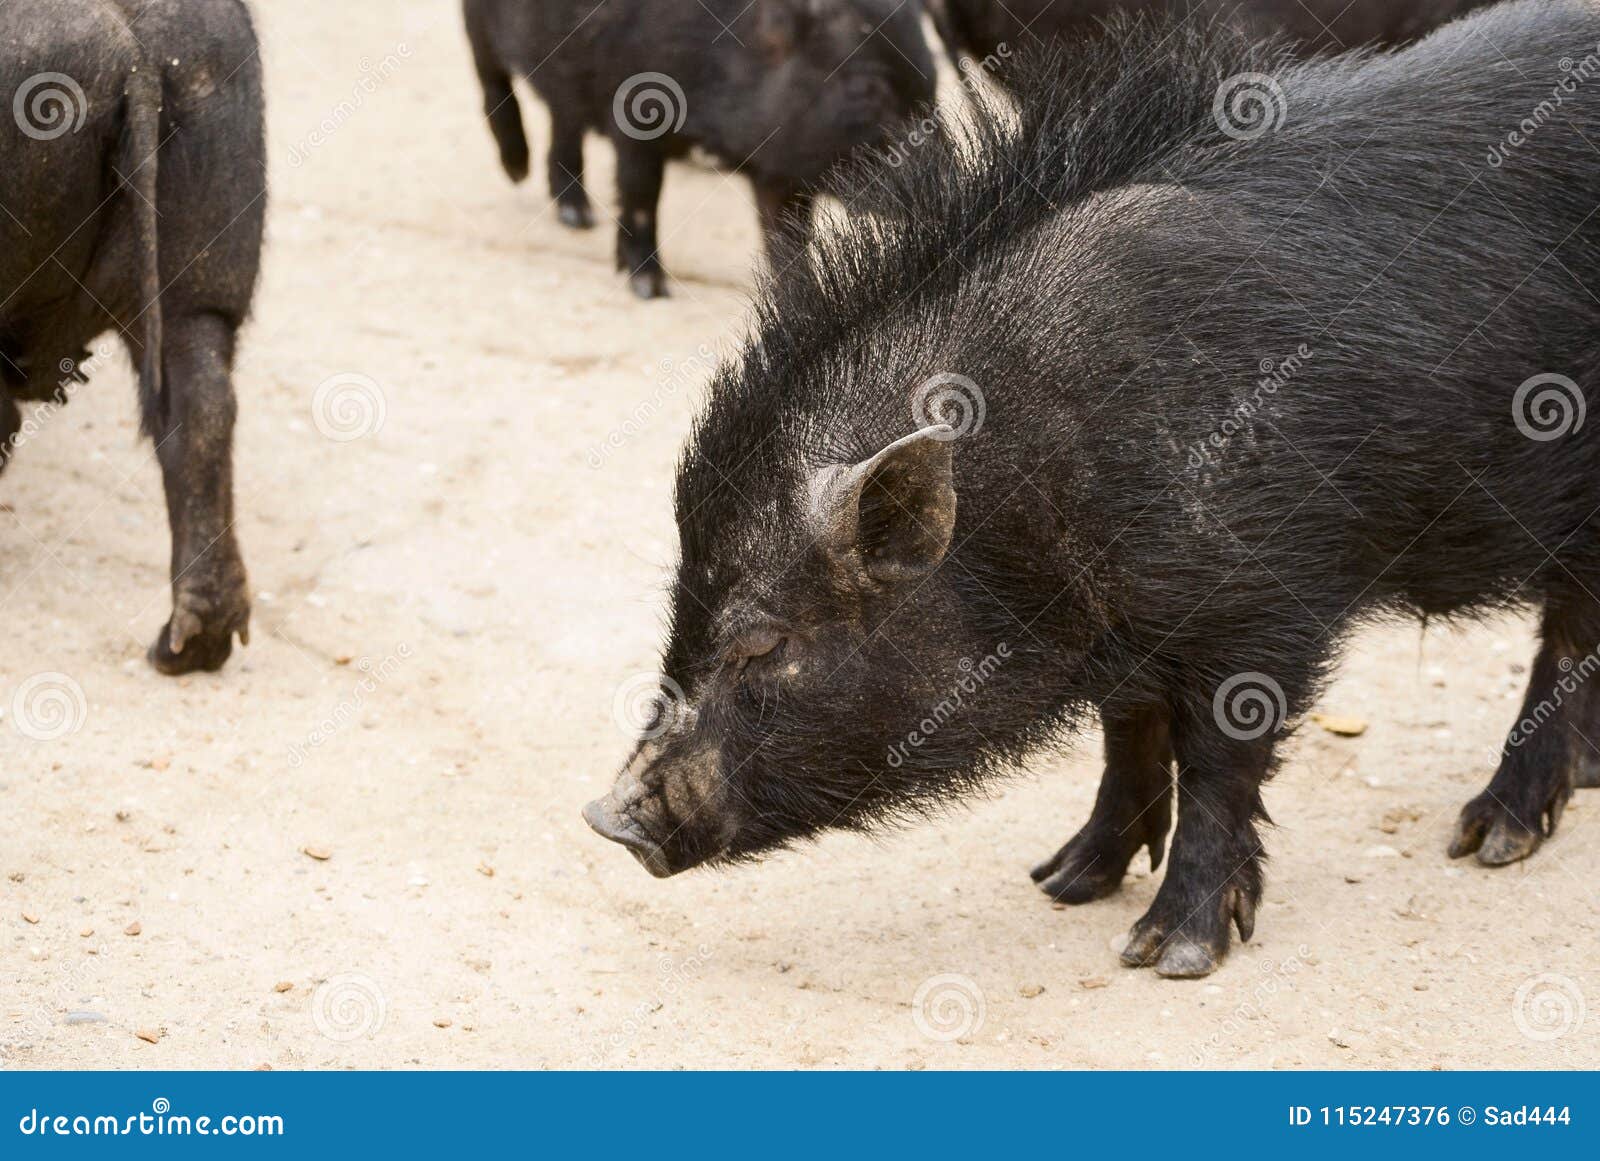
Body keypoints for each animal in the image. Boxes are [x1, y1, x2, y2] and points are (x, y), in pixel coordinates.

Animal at [462, 0, 937, 298]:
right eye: (867, 89)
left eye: (932, 84)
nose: (943, 182)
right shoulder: (633, 120)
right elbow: (641, 194)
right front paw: (650, 290)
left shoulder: (777, 169)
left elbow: (787, 240)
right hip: (476, 24)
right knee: (492, 80)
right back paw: (517, 169)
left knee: (564, 117)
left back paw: (577, 217)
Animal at [586, 0, 1600, 977]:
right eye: (683, 609)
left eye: (763, 643)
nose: (607, 816)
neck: (1043, 472)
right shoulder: (1129, 623)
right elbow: (1127, 731)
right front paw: (1062, 883)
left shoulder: (1269, 602)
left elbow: (1219, 762)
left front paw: (1167, 954)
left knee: (1565, 635)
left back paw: (1489, 838)